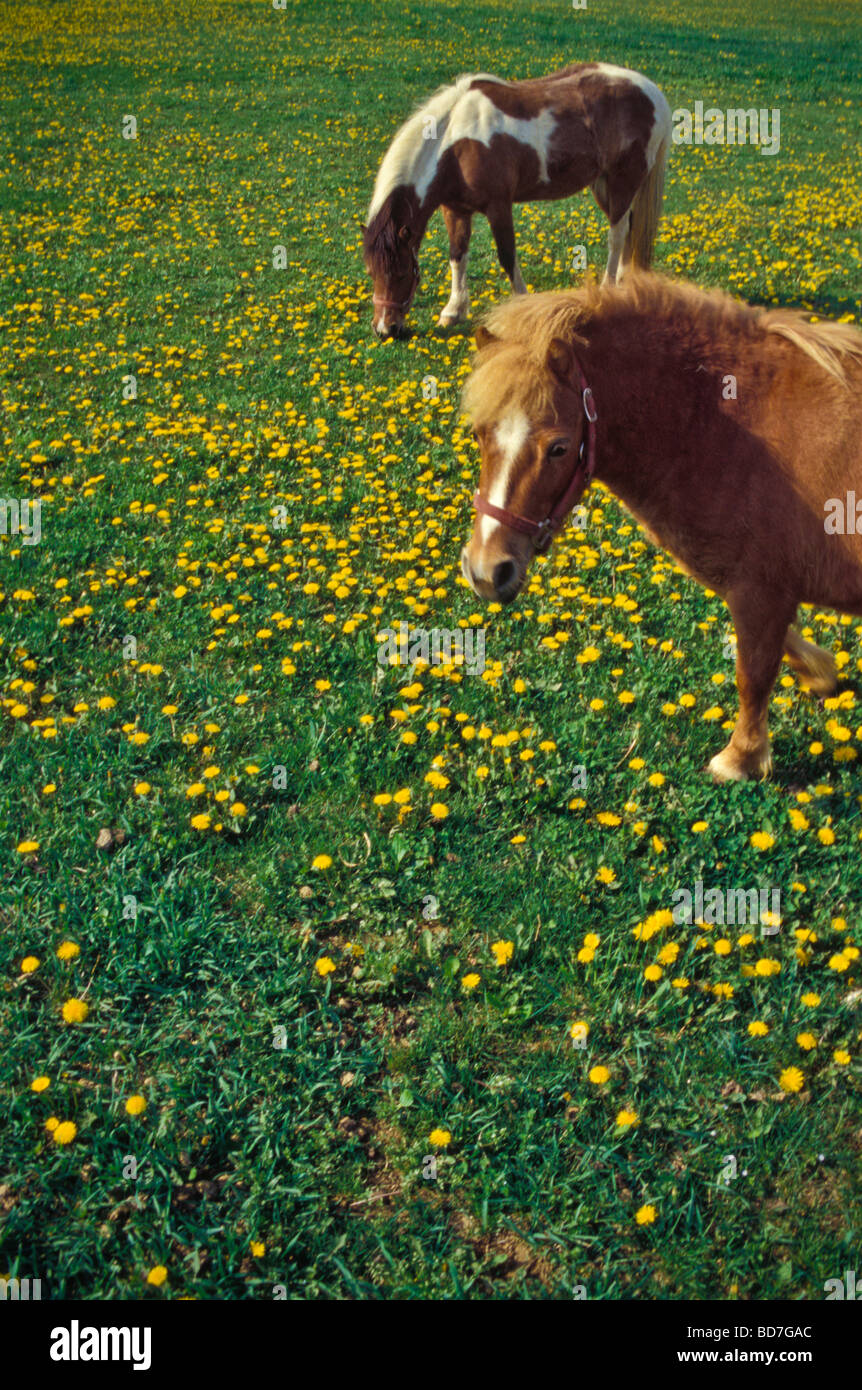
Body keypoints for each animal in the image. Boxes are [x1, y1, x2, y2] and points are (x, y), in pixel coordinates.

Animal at [363, 64, 671, 338]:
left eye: (402, 273)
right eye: (371, 272)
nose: (385, 329)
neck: (456, 144)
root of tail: (652, 92)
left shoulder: (499, 206)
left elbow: (507, 256)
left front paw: (520, 304)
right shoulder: (455, 210)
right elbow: (457, 256)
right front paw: (453, 311)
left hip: (623, 181)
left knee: (617, 236)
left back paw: (609, 289)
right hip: (604, 184)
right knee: (629, 229)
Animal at [459, 273, 862, 783]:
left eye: (558, 447)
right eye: (479, 433)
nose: (487, 572)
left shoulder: (760, 588)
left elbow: (752, 673)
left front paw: (741, 757)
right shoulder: (762, 586)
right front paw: (821, 671)